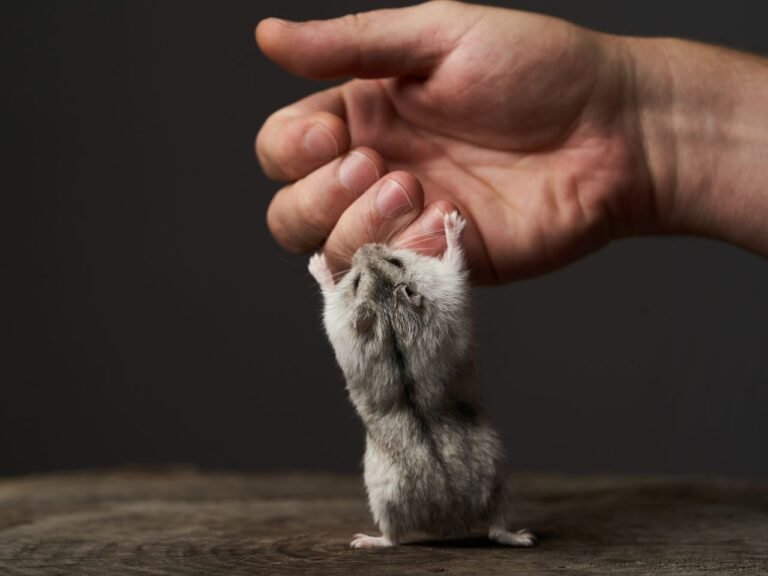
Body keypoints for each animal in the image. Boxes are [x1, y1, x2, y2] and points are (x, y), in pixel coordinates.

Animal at [309, 212, 535, 549]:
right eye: (357, 281)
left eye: (394, 260)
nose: (363, 246)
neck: (389, 308)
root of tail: (450, 518)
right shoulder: (446, 282)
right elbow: (454, 257)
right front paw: (452, 221)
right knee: (398, 538)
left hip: (493, 482)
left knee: (489, 530)